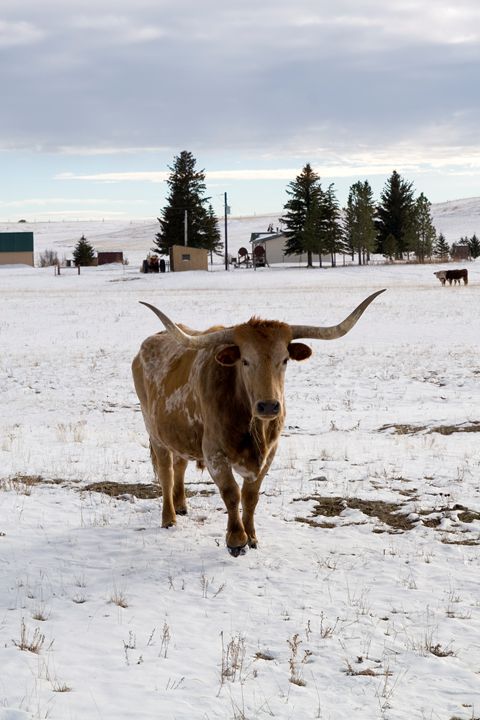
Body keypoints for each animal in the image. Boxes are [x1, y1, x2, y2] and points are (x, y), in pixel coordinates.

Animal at [132, 290, 385, 556]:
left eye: (285, 360)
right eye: (245, 361)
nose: (269, 406)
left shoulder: (269, 453)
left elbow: (250, 496)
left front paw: (252, 537)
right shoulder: (214, 453)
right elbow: (231, 493)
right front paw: (236, 540)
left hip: (180, 434)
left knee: (180, 464)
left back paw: (181, 506)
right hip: (155, 433)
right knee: (166, 472)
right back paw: (169, 517)